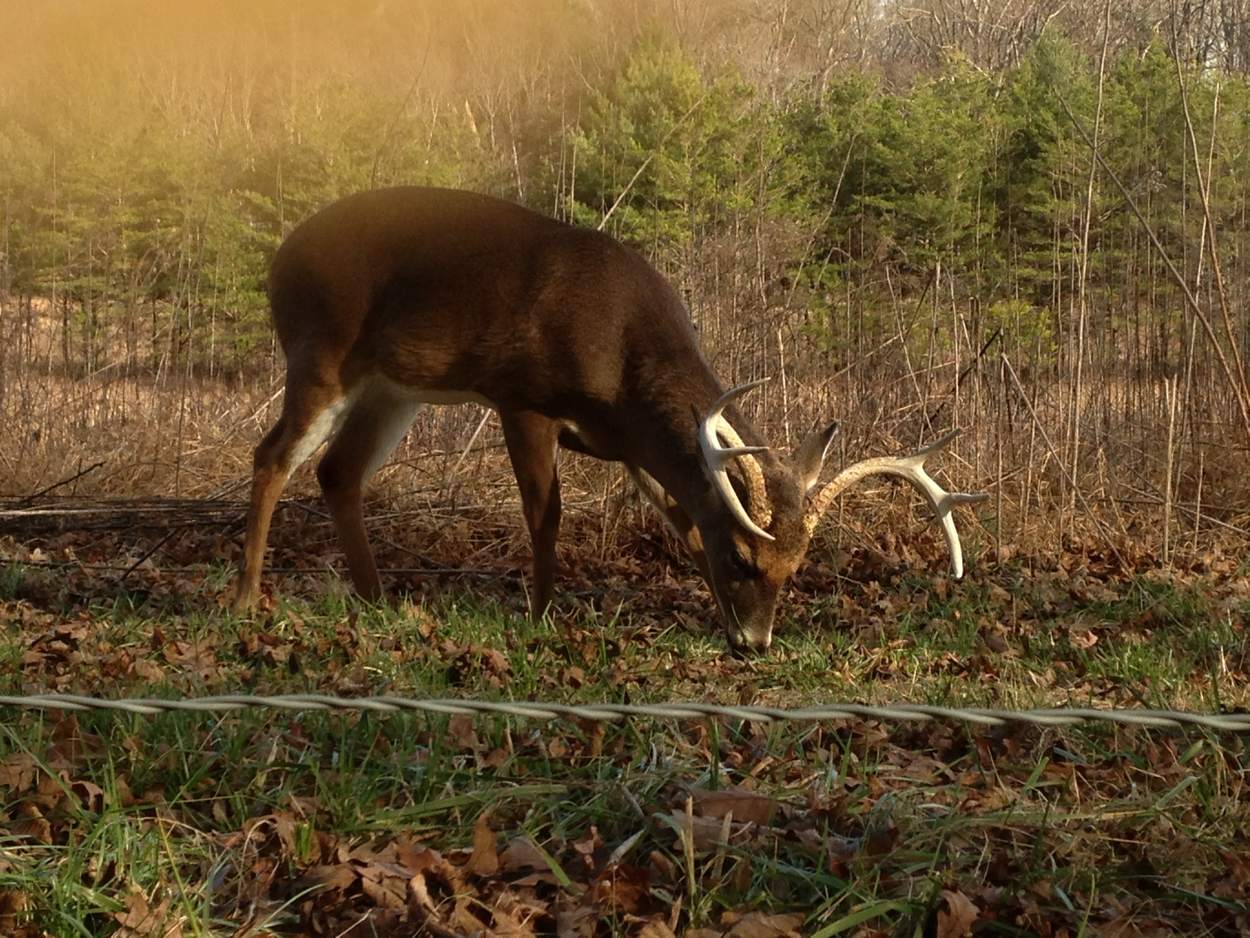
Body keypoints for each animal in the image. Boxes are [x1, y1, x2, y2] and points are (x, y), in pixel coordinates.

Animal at [230, 187, 986, 653]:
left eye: (795, 567)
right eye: (743, 559)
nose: (757, 644)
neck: (620, 361)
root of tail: (280, 255)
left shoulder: (628, 443)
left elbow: (684, 523)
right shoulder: (524, 398)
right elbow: (546, 514)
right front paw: (539, 616)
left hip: (395, 388)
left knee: (337, 470)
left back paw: (376, 598)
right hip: (320, 350)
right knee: (272, 455)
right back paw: (245, 598)